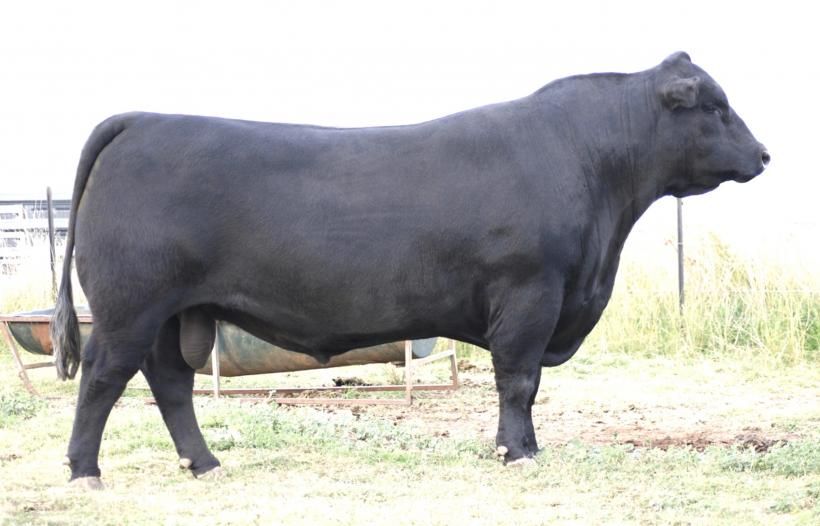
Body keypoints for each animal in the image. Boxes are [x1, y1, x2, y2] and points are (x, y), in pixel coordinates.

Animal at [51, 52, 768, 488]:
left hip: (174, 312)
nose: (763, 153)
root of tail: (143, 119)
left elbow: (524, 382)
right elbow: (519, 380)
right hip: (129, 306)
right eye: (715, 107)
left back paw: (203, 463)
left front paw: (522, 447)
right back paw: (85, 471)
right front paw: (517, 451)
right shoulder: (530, 291)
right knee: (103, 377)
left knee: (170, 381)